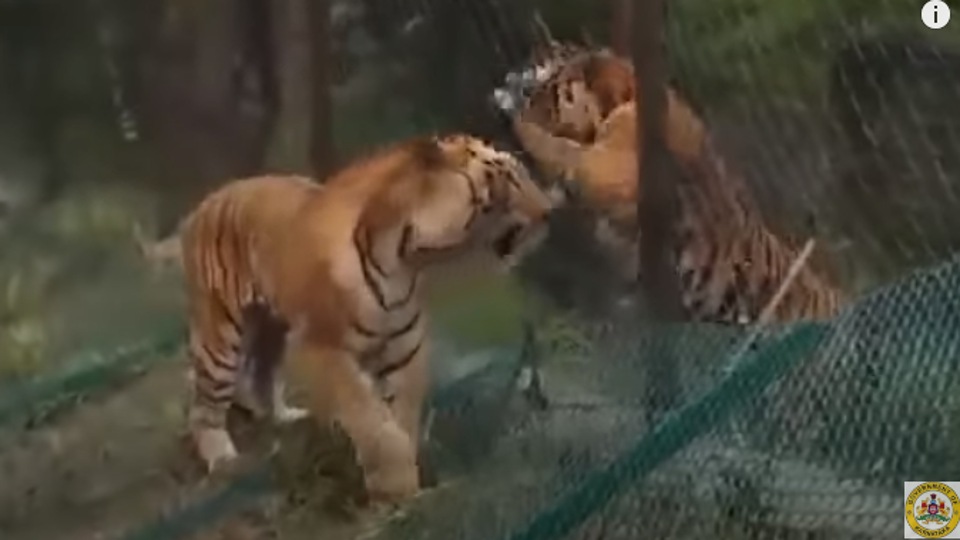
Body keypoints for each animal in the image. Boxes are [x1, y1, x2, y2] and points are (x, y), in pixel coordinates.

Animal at [178, 133, 554, 505]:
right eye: (505, 182)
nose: (550, 211)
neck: (407, 259)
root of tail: (206, 202)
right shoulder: (325, 351)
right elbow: (369, 420)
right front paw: (393, 487)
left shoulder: (404, 348)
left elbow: (400, 418)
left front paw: (407, 481)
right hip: (221, 336)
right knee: (203, 406)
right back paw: (222, 458)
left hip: (272, 329)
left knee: (261, 373)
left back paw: (287, 416)